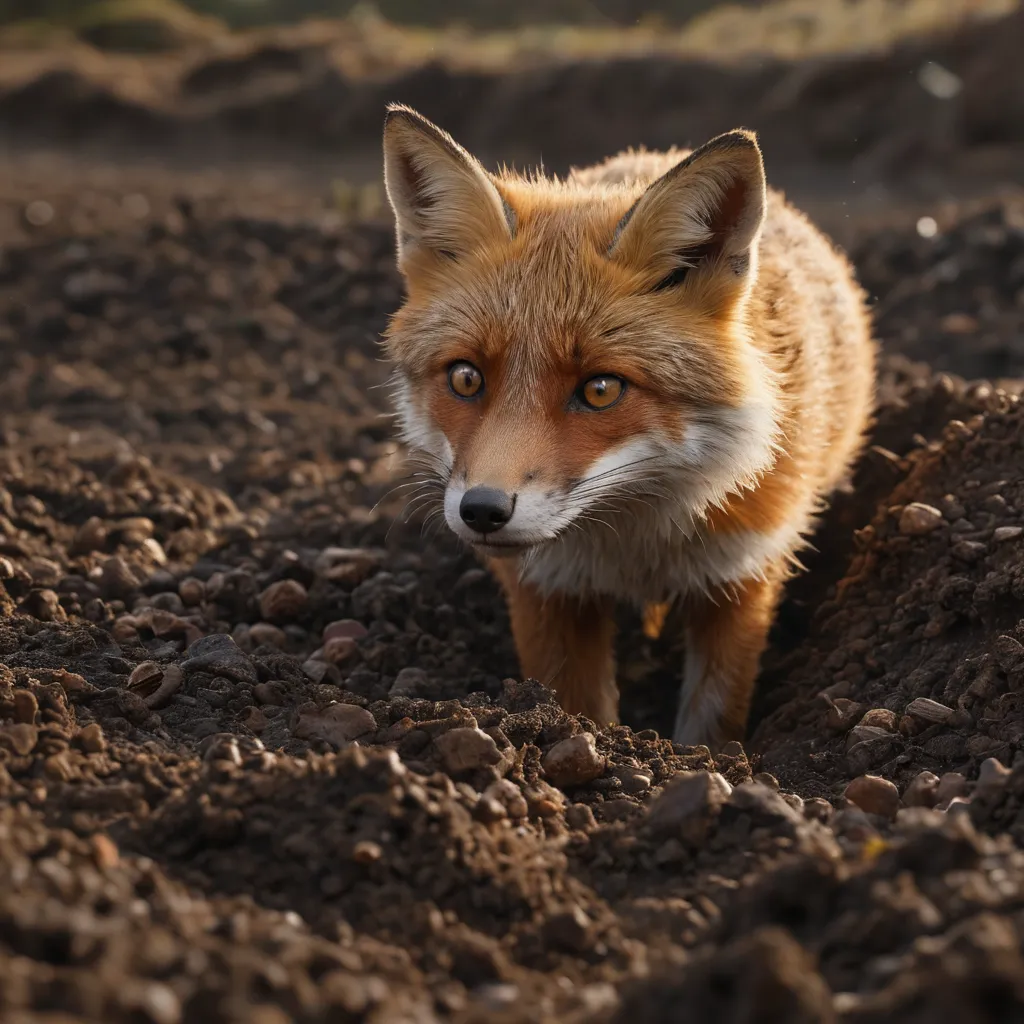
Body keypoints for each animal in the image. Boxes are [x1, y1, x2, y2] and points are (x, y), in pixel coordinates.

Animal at [381, 103, 875, 750]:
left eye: (600, 389)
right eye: (466, 378)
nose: (482, 510)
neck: (632, 541)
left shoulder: (742, 572)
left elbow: (712, 718)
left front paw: (700, 764)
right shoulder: (549, 588)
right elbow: (574, 706)